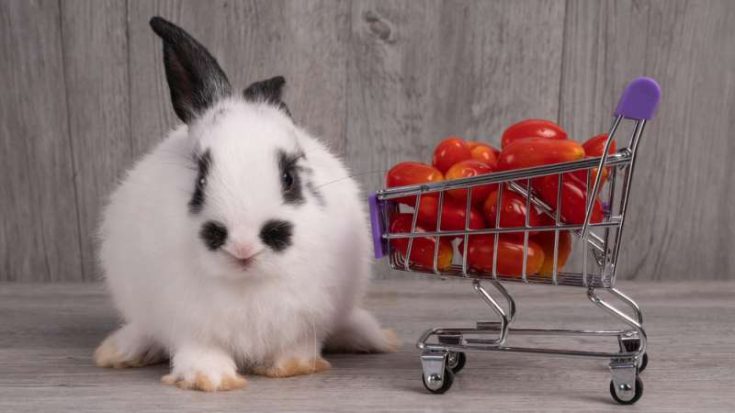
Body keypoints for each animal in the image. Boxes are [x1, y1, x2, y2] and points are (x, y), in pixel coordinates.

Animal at [93, 16, 398, 392]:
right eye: (201, 180)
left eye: (289, 177)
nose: (243, 245)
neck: (248, 282)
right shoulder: (187, 321)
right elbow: (199, 349)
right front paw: (210, 380)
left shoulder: (307, 318)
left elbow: (298, 346)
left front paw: (293, 366)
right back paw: (119, 352)